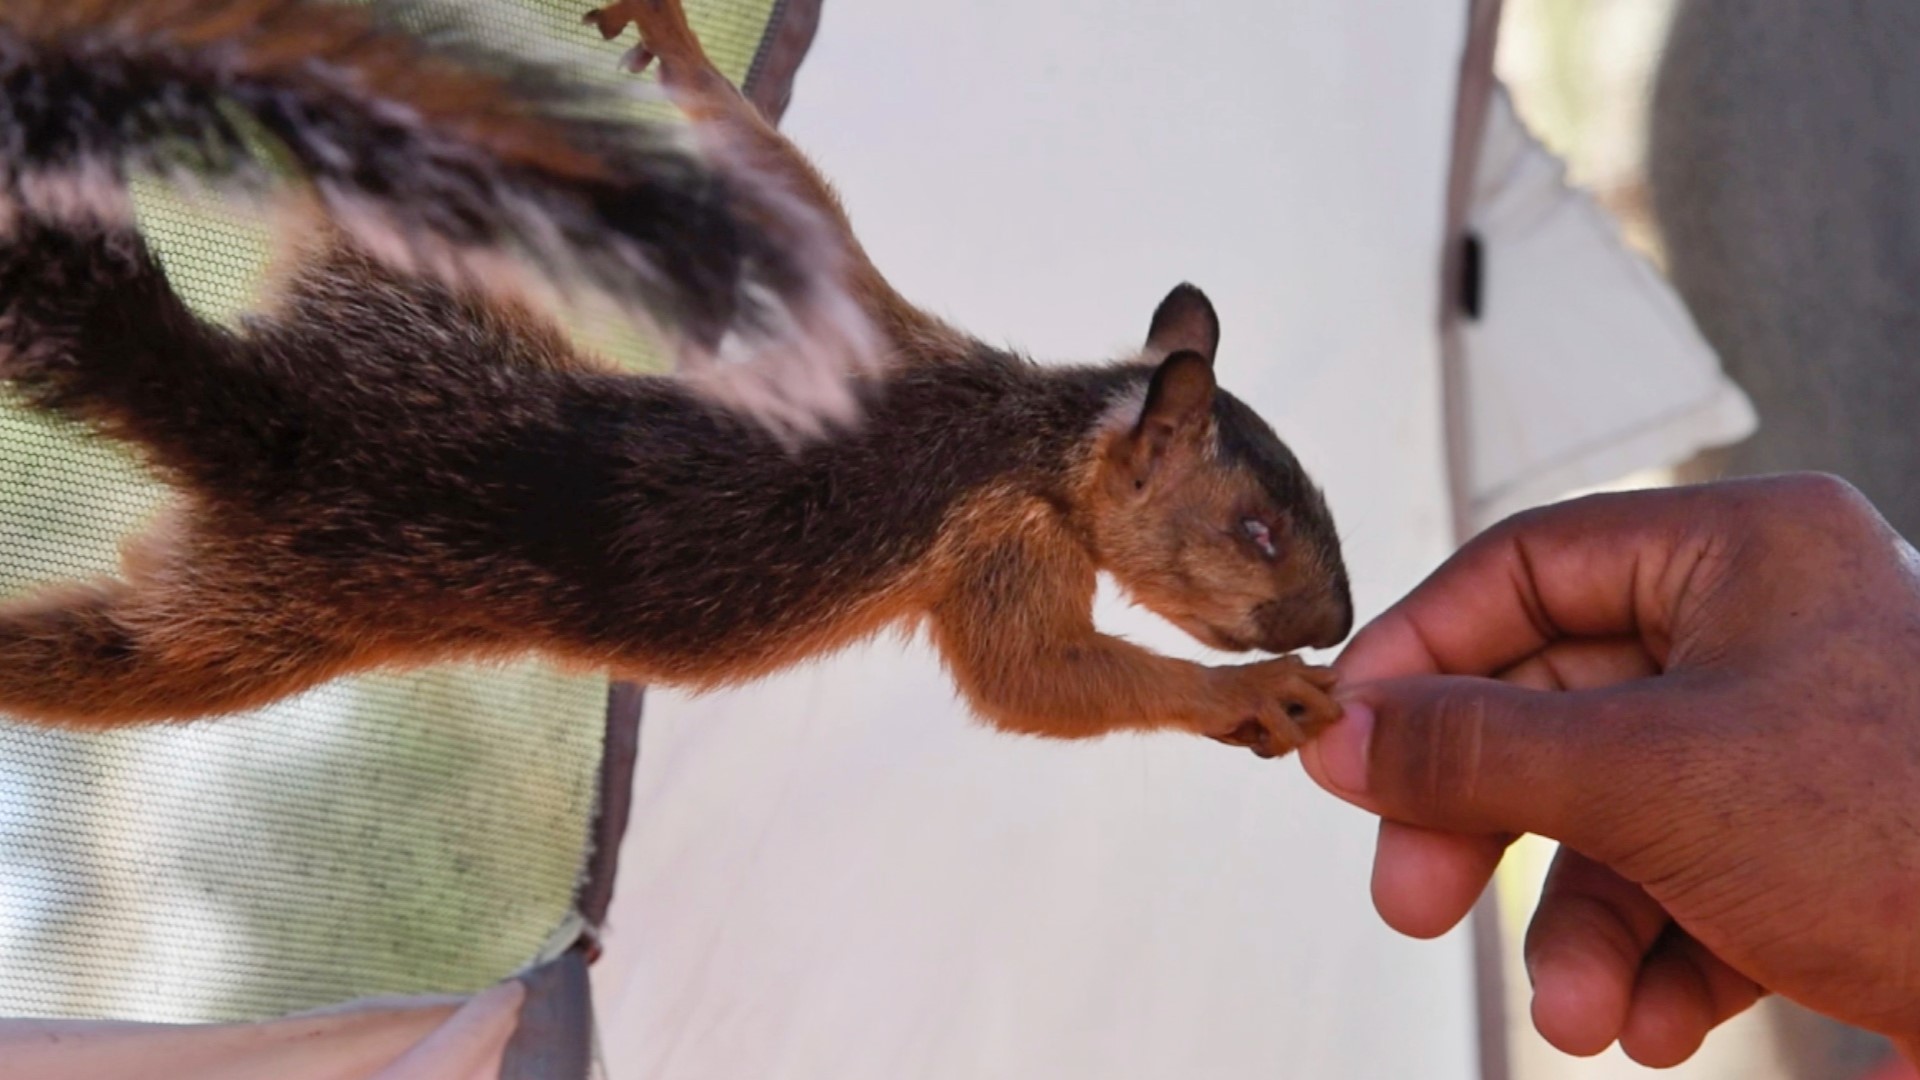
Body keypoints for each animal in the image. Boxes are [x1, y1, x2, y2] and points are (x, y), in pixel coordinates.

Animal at [0, 0, 1353, 758]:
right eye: (1258, 529)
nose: (1337, 625)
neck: (1015, 429)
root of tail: (271, 418)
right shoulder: (1001, 535)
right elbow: (1039, 683)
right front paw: (1255, 696)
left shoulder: (884, 335)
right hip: (279, 604)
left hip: (290, 501)